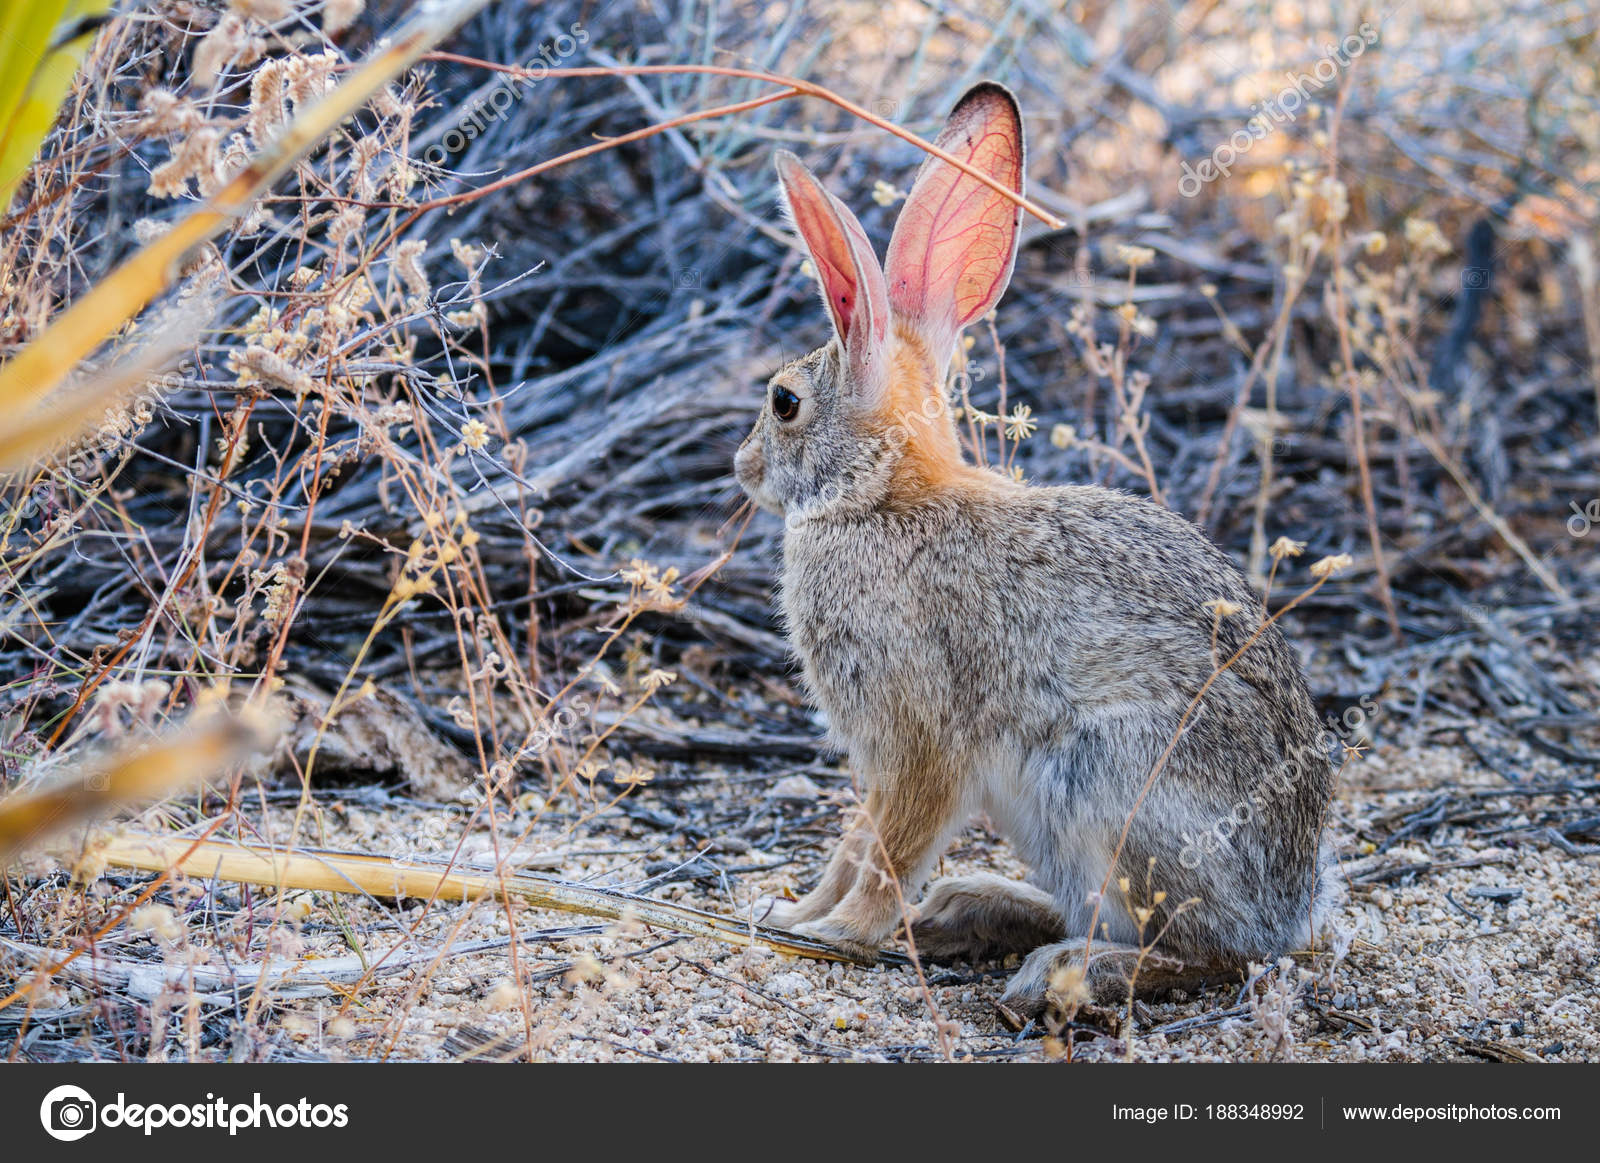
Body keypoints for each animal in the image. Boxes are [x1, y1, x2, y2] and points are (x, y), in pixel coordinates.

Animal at [734, 82, 1341, 1019]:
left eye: (784, 401)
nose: (743, 467)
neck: (884, 497)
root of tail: (1292, 909)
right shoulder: (879, 756)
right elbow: (854, 840)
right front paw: (792, 909)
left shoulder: (919, 736)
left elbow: (887, 848)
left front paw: (836, 930)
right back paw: (971, 907)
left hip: (1110, 790)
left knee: (1205, 954)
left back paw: (1057, 970)